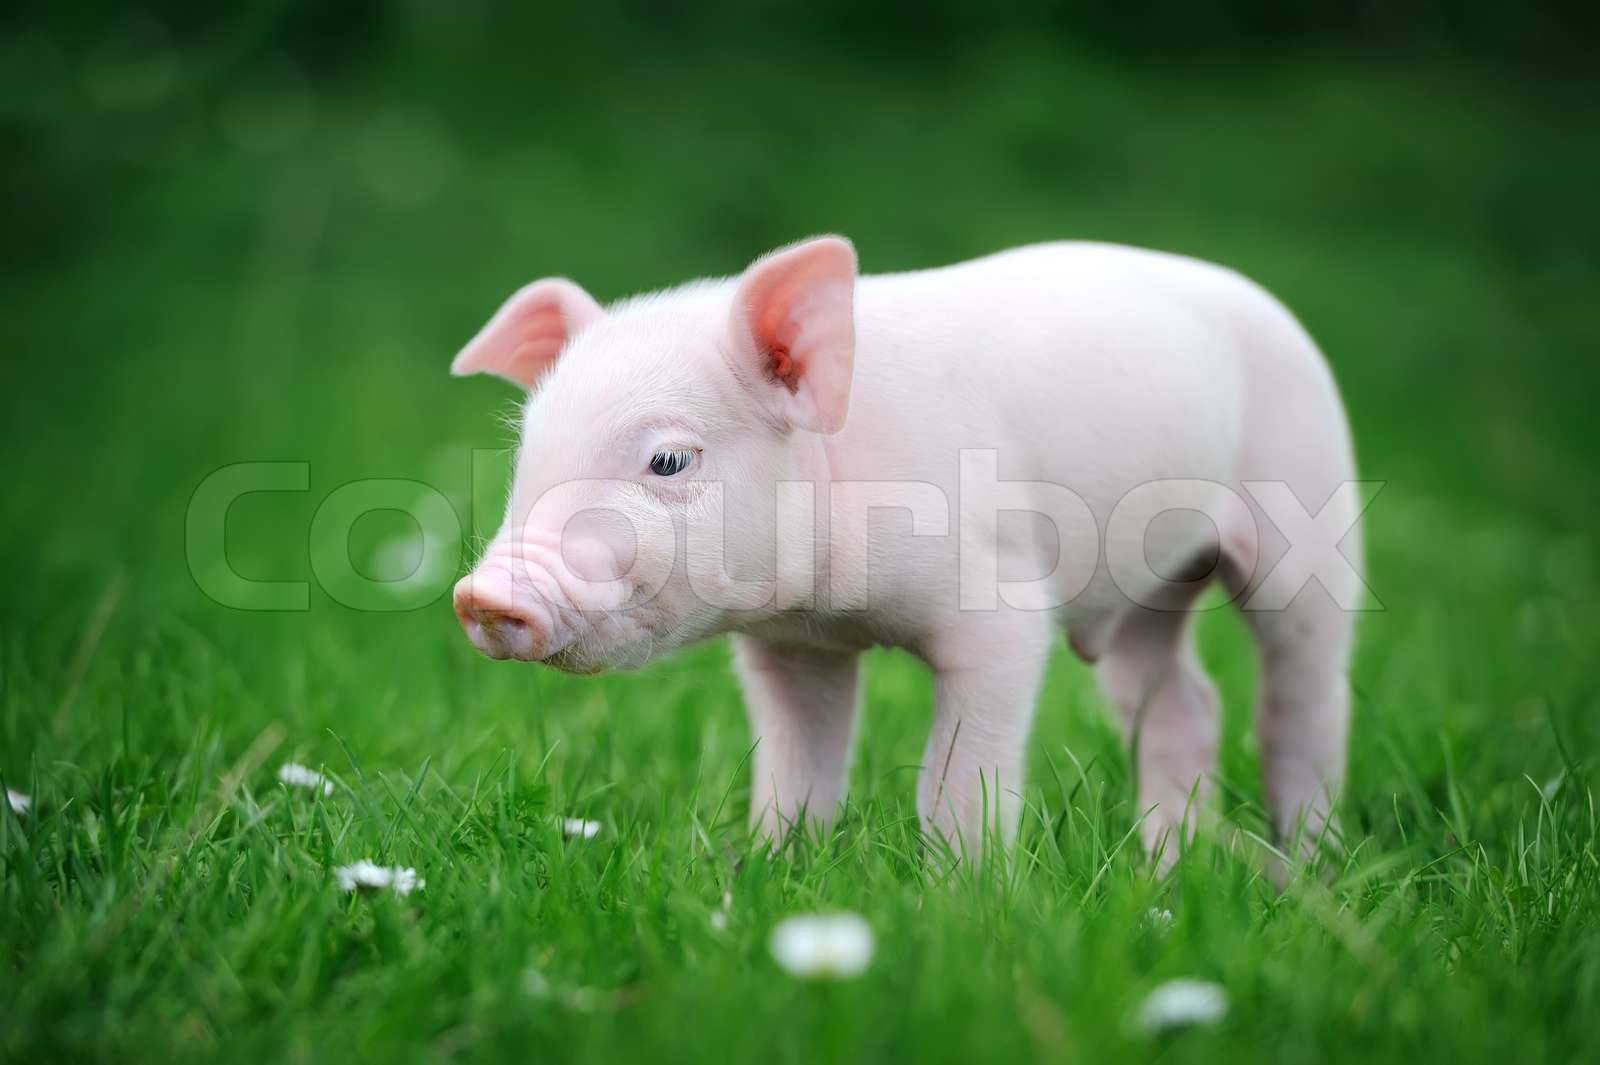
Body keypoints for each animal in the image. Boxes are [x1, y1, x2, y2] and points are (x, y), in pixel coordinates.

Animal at [449, 237, 1365, 861]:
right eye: (529, 453)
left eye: (669, 459)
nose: (483, 594)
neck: (837, 607)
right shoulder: (791, 646)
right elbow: (797, 766)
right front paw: (778, 868)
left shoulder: (1003, 604)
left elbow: (957, 776)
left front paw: (963, 893)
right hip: (1150, 586)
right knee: (1182, 699)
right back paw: (1166, 863)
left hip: (1312, 511)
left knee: (1306, 691)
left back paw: (1305, 861)